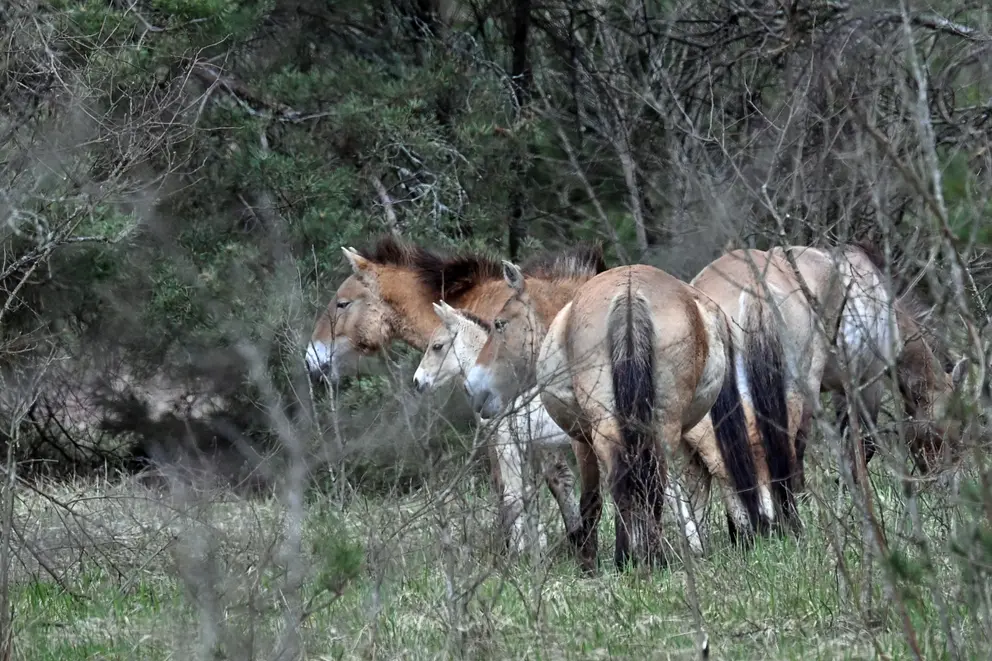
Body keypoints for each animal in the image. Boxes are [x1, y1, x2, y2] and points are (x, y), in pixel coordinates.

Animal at [464, 261, 790, 573]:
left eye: (499, 324)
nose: (473, 388)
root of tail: (629, 294)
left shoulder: (581, 440)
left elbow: (591, 499)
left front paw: (589, 561)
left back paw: (633, 558)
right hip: (668, 426)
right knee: (669, 481)